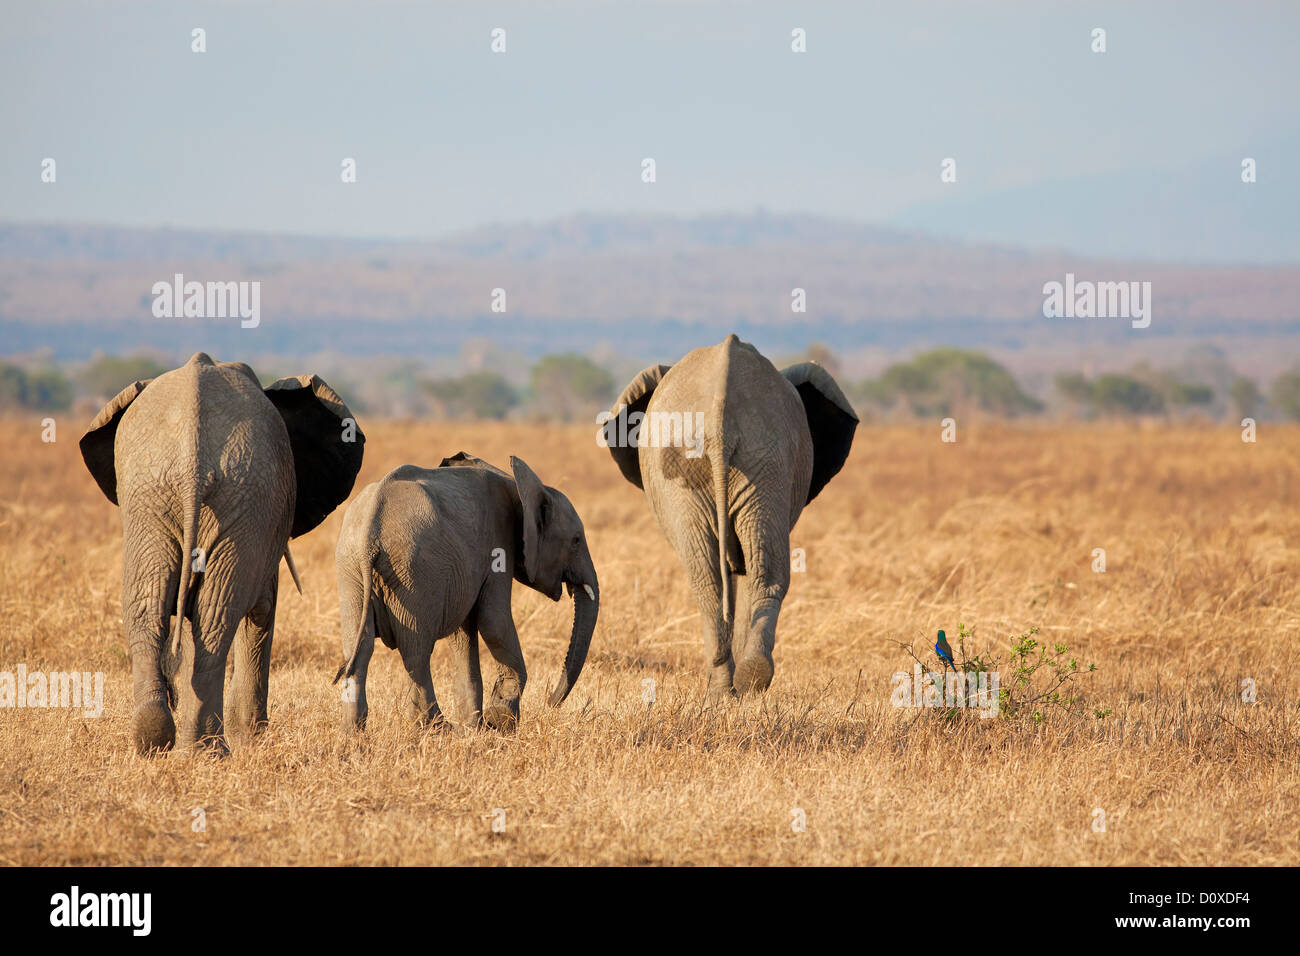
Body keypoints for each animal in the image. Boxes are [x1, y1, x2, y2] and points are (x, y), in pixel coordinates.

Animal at [80, 352, 365, 754]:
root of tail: (191, 460)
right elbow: (262, 608)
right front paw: (253, 738)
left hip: (160, 496)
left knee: (155, 604)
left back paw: (164, 742)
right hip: (217, 493)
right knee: (215, 613)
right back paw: (208, 749)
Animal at [331, 452, 599, 733]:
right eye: (576, 540)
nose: (550, 702)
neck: (518, 486)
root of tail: (369, 532)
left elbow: (463, 634)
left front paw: (476, 726)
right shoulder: (498, 547)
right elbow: (494, 623)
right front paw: (499, 721)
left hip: (351, 569)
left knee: (359, 648)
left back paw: (353, 731)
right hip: (413, 572)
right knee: (416, 652)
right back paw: (436, 727)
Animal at [603, 334, 857, 697]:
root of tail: (720, 416)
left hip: (751, 460)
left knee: (722, 575)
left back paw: (730, 687)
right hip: (754, 461)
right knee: (745, 571)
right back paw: (739, 684)